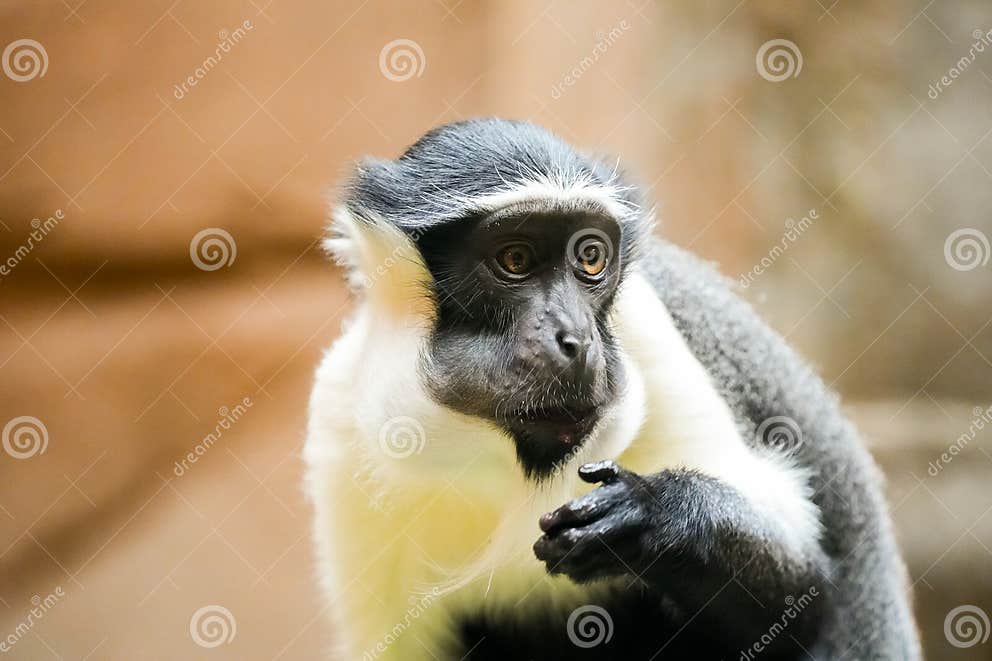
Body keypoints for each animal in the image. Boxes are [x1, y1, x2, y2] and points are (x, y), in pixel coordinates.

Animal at [303, 119, 921, 660]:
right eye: (515, 259)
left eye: (591, 257)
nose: (577, 339)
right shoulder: (340, 427)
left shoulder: (653, 338)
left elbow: (802, 599)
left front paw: (657, 517)